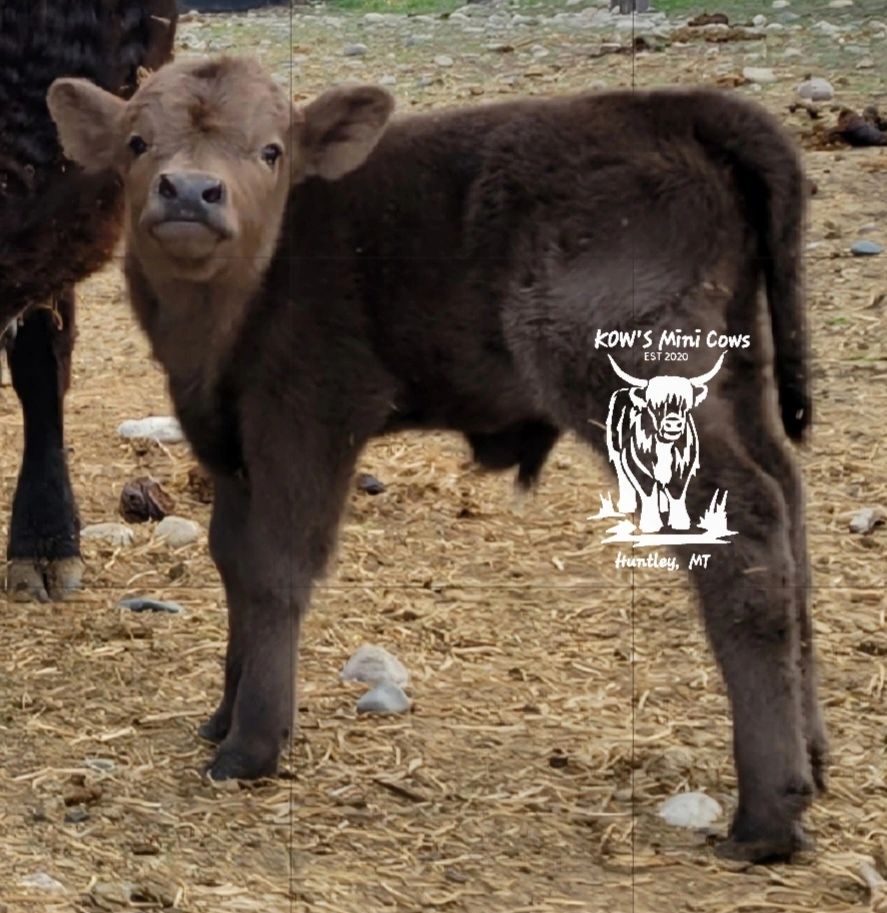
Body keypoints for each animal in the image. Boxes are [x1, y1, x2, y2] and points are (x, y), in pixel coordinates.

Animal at [606, 354, 723, 532]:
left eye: (686, 404)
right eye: (654, 405)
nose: (673, 424)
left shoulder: (684, 466)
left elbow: (677, 495)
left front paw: (680, 523)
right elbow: (648, 493)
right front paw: (651, 523)